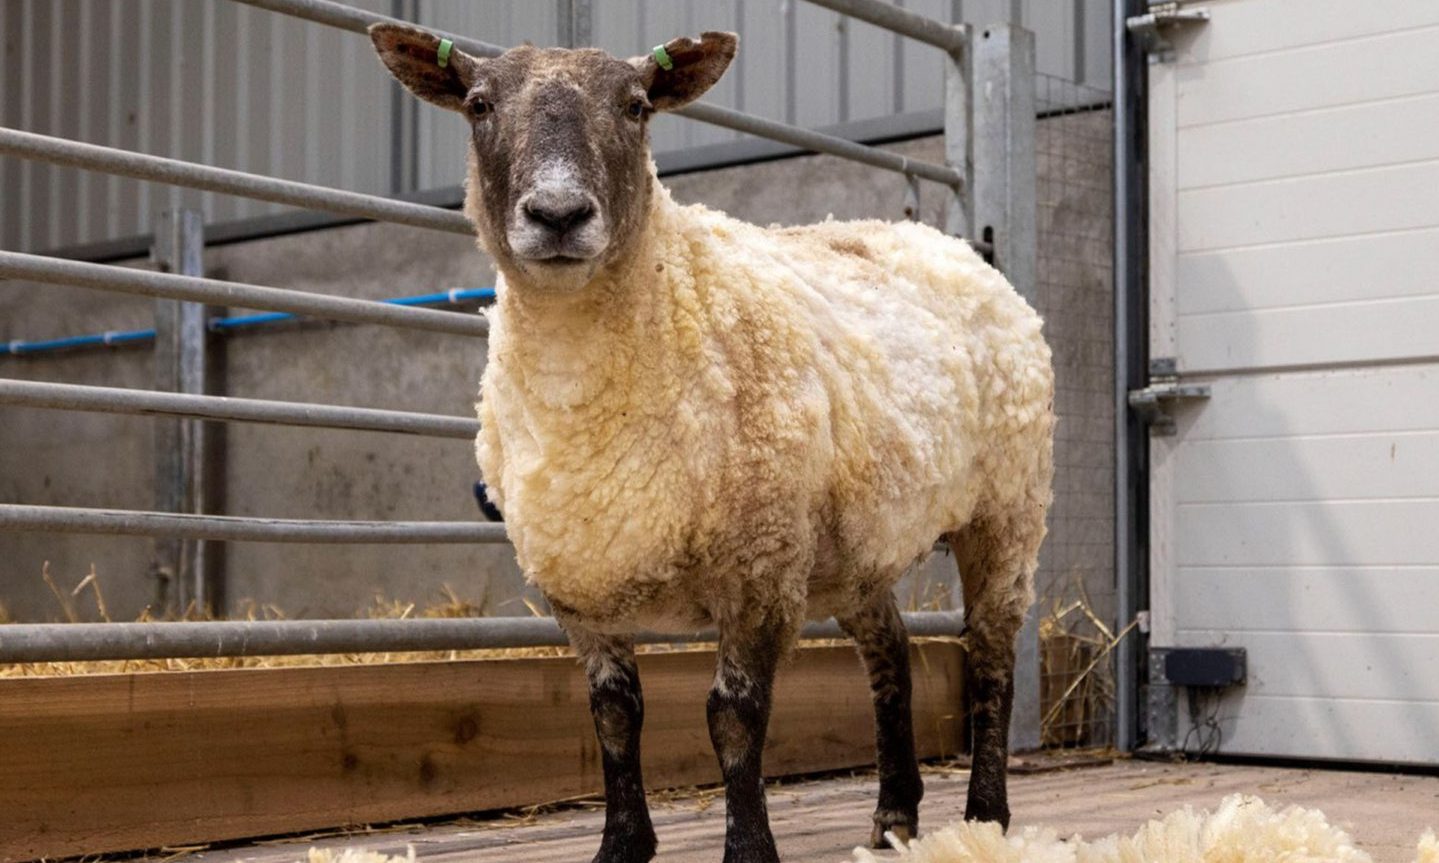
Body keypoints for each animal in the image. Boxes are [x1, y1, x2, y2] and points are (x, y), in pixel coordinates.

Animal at [371, 25, 1053, 863]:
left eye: (636, 106)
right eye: (476, 104)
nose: (558, 214)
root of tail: (945, 243)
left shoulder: (755, 563)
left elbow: (734, 715)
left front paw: (748, 848)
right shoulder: (577, 582)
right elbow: (612, 713)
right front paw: (621, 846)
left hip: (1006, 505)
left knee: (990, 658)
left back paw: (985, 814)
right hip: (851, 543)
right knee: (890, 653)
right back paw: (893, 815)